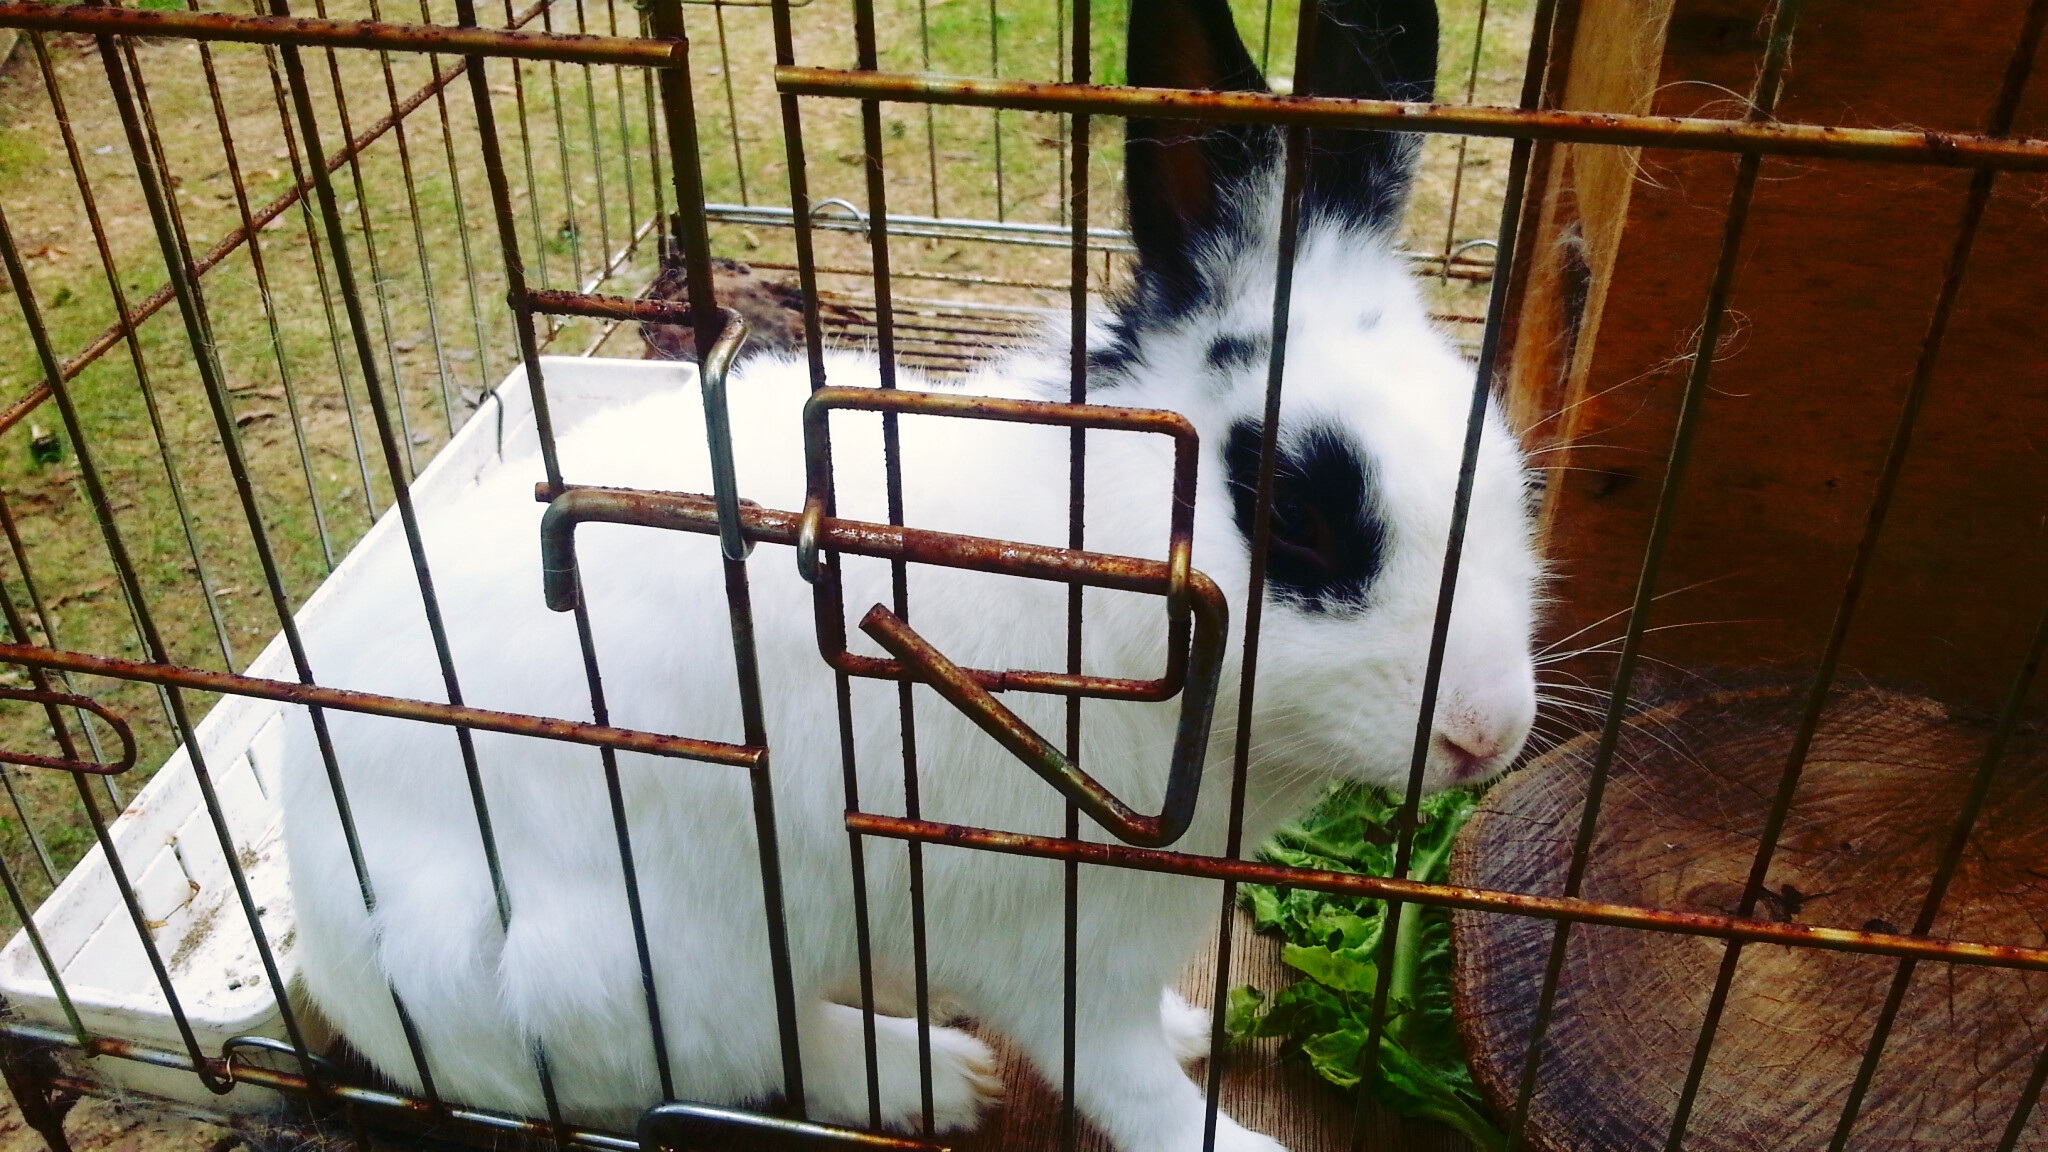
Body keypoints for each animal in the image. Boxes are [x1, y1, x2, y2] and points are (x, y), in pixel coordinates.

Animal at [275, 0, 1539, 1148]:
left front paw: (1189, 1027)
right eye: (1297, 517)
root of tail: (347, 975)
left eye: (1510, 468)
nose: (1485, 735)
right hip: (641, 968)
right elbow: (1127, 1086)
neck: (1092, 574)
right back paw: (935, 1080)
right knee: (749, 1058)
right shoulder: (1054, 939)